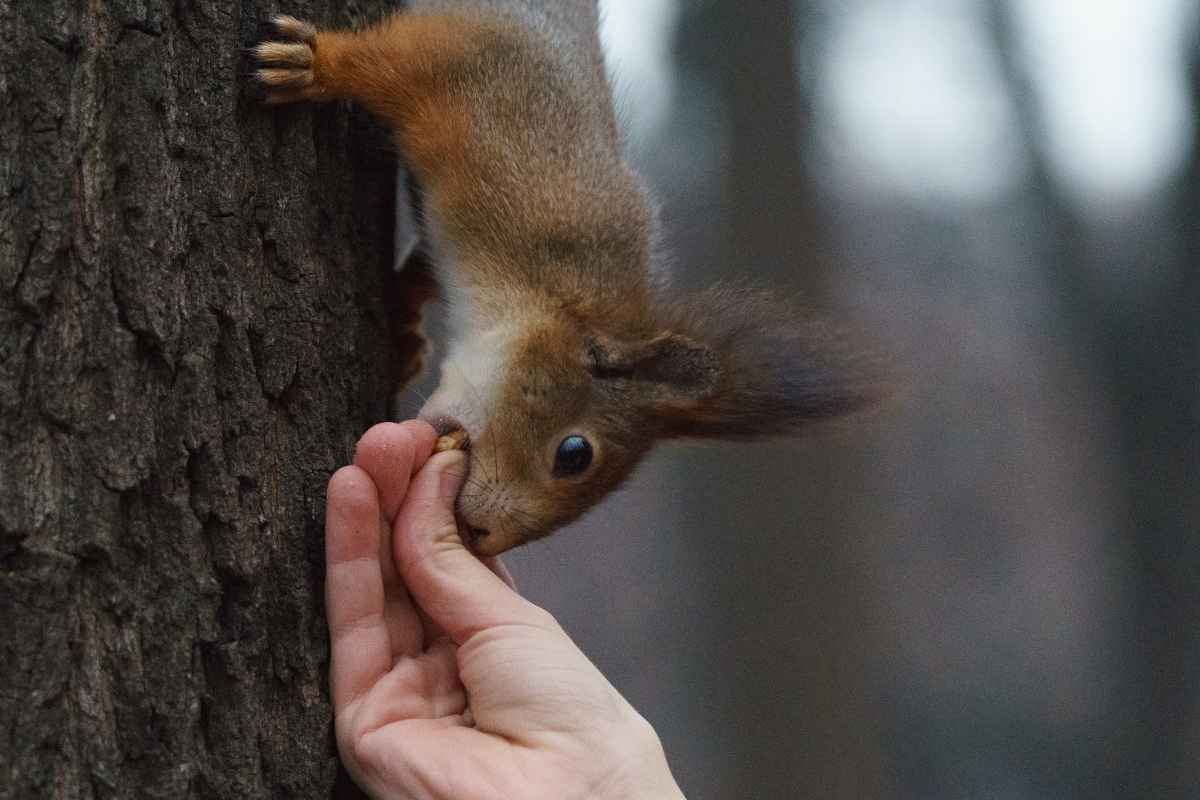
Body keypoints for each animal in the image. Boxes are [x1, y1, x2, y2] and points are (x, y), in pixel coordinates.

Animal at [255, 1, 879, 556]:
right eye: (575, 454)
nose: (482, 539)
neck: (551, 293)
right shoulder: (488, 74)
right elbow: (398, 59)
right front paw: (314, 63)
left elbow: (422, 270)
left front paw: (405, 331)